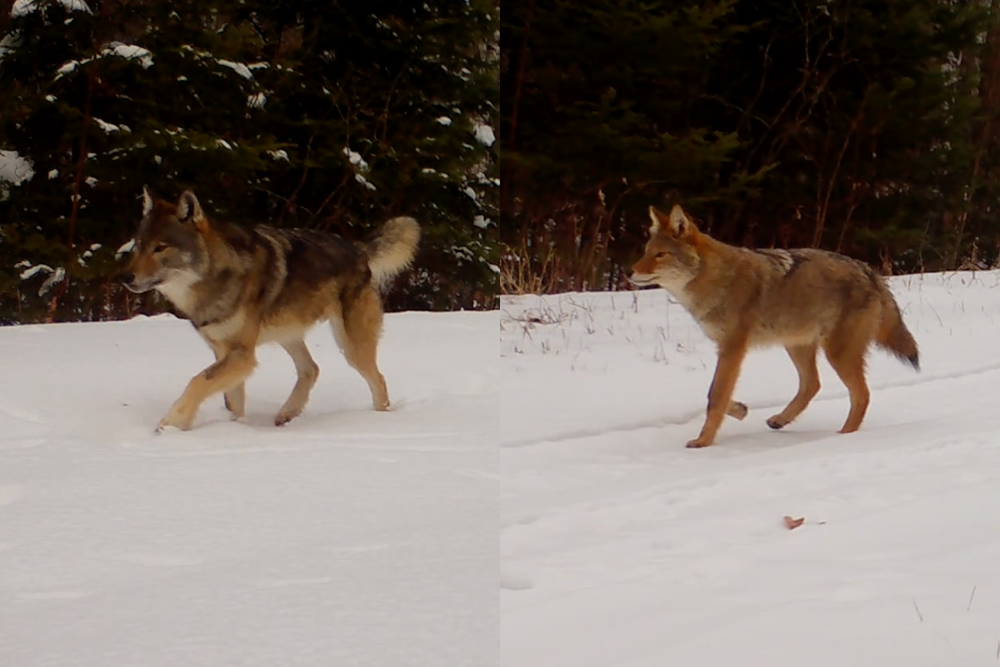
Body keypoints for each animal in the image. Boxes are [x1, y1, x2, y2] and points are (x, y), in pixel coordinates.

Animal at [122, 188, 420, 432]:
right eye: (138, 246)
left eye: (160, 247)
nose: (126, 278)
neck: (213, 279)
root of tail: (358, 249)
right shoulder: (224, 352)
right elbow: (232, 400)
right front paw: (236, 429)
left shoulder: (242, 355)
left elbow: (197, 381)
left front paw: (170, 425)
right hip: (288, 335)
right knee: (312, 368)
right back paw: (287, 413)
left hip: (351, 347)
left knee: (378, 379)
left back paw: (378, 420)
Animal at [629, 204, 919, 448]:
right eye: (646, 252)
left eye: (660, 255)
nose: (629, 272)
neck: (715, 279)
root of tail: (870, 272)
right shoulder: (726, 349)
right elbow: (717, 395)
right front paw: (740, 410)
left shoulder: (733, 348)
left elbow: (715, 395)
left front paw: (703, 441)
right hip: (797, 345)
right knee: (812, 384)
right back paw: (780, 419)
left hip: (836, 353)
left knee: (861, 394)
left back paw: (842, 437)